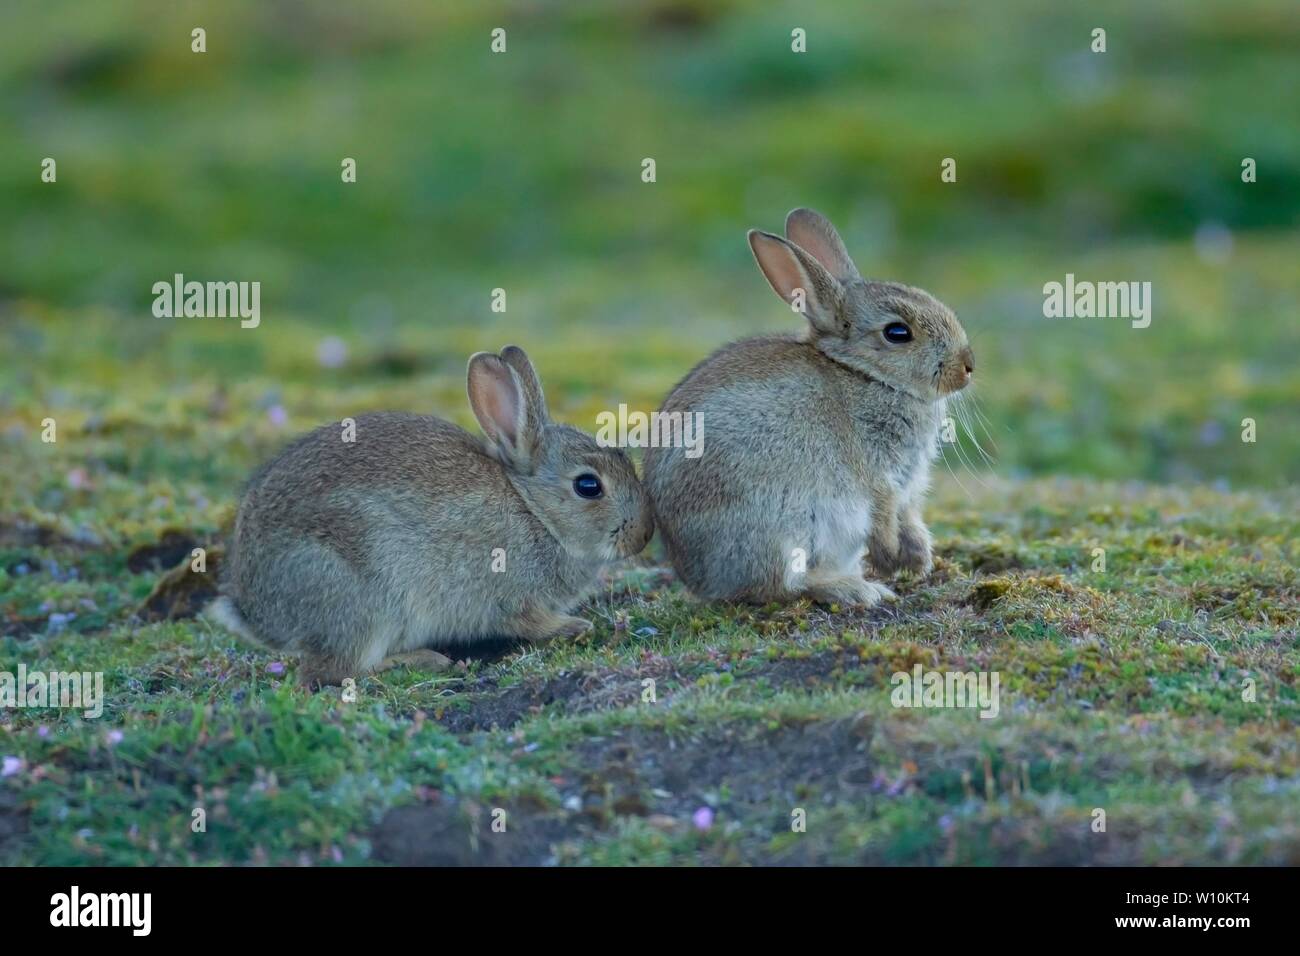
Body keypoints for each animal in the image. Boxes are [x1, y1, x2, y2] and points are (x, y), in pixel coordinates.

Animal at [208, 345, 654, 686]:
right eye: (588, 486)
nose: (644, 535)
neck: (533, 509)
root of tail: (256, 611)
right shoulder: (509, 593)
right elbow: (528, 620)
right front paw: (573, 627)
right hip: (359, 599)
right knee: (335, 670)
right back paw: (424, 660)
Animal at [643, 208, 974, 608]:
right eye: (898, 333)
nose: (968, 366)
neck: (867, 375)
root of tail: (701, 581)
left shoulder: (908, 487)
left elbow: (909, 517)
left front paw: (918, 559)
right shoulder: (876, 477)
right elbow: (882, 514)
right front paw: (893, 560)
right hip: (781, 526)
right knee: (781, 586)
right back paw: (856, 589)